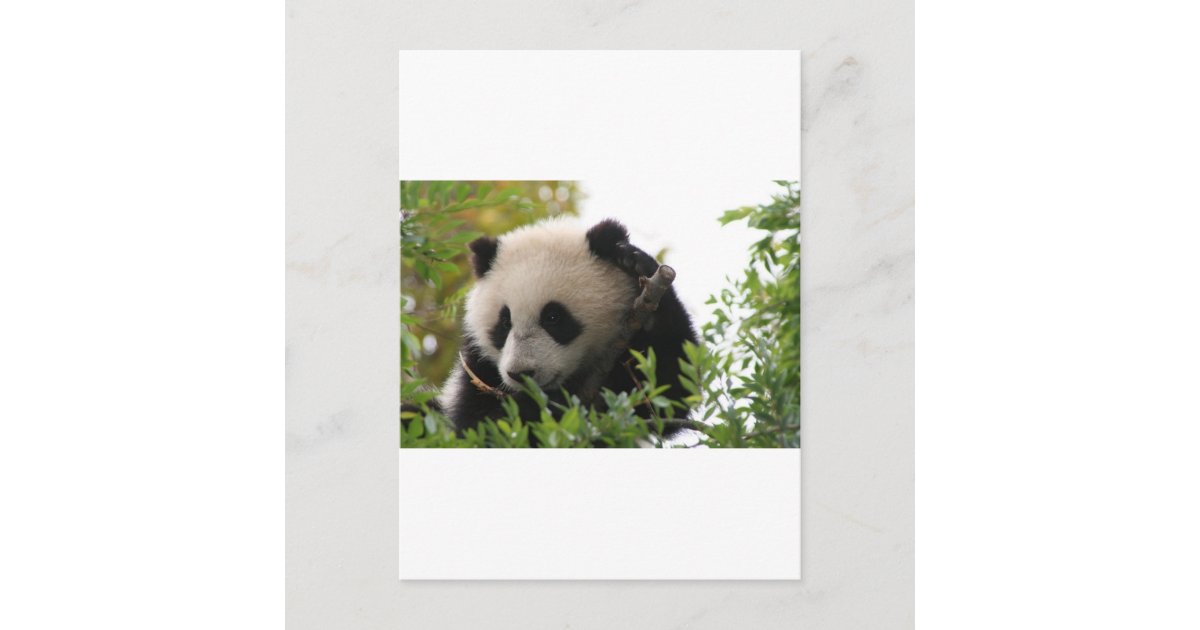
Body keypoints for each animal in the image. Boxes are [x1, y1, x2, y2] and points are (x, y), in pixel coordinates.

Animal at [437, 217, 698, 439]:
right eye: (504, 322)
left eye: (553, 317)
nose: (521, 374)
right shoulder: (477, 372)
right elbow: (482, 426)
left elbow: (667, 393)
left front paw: (637, 263)